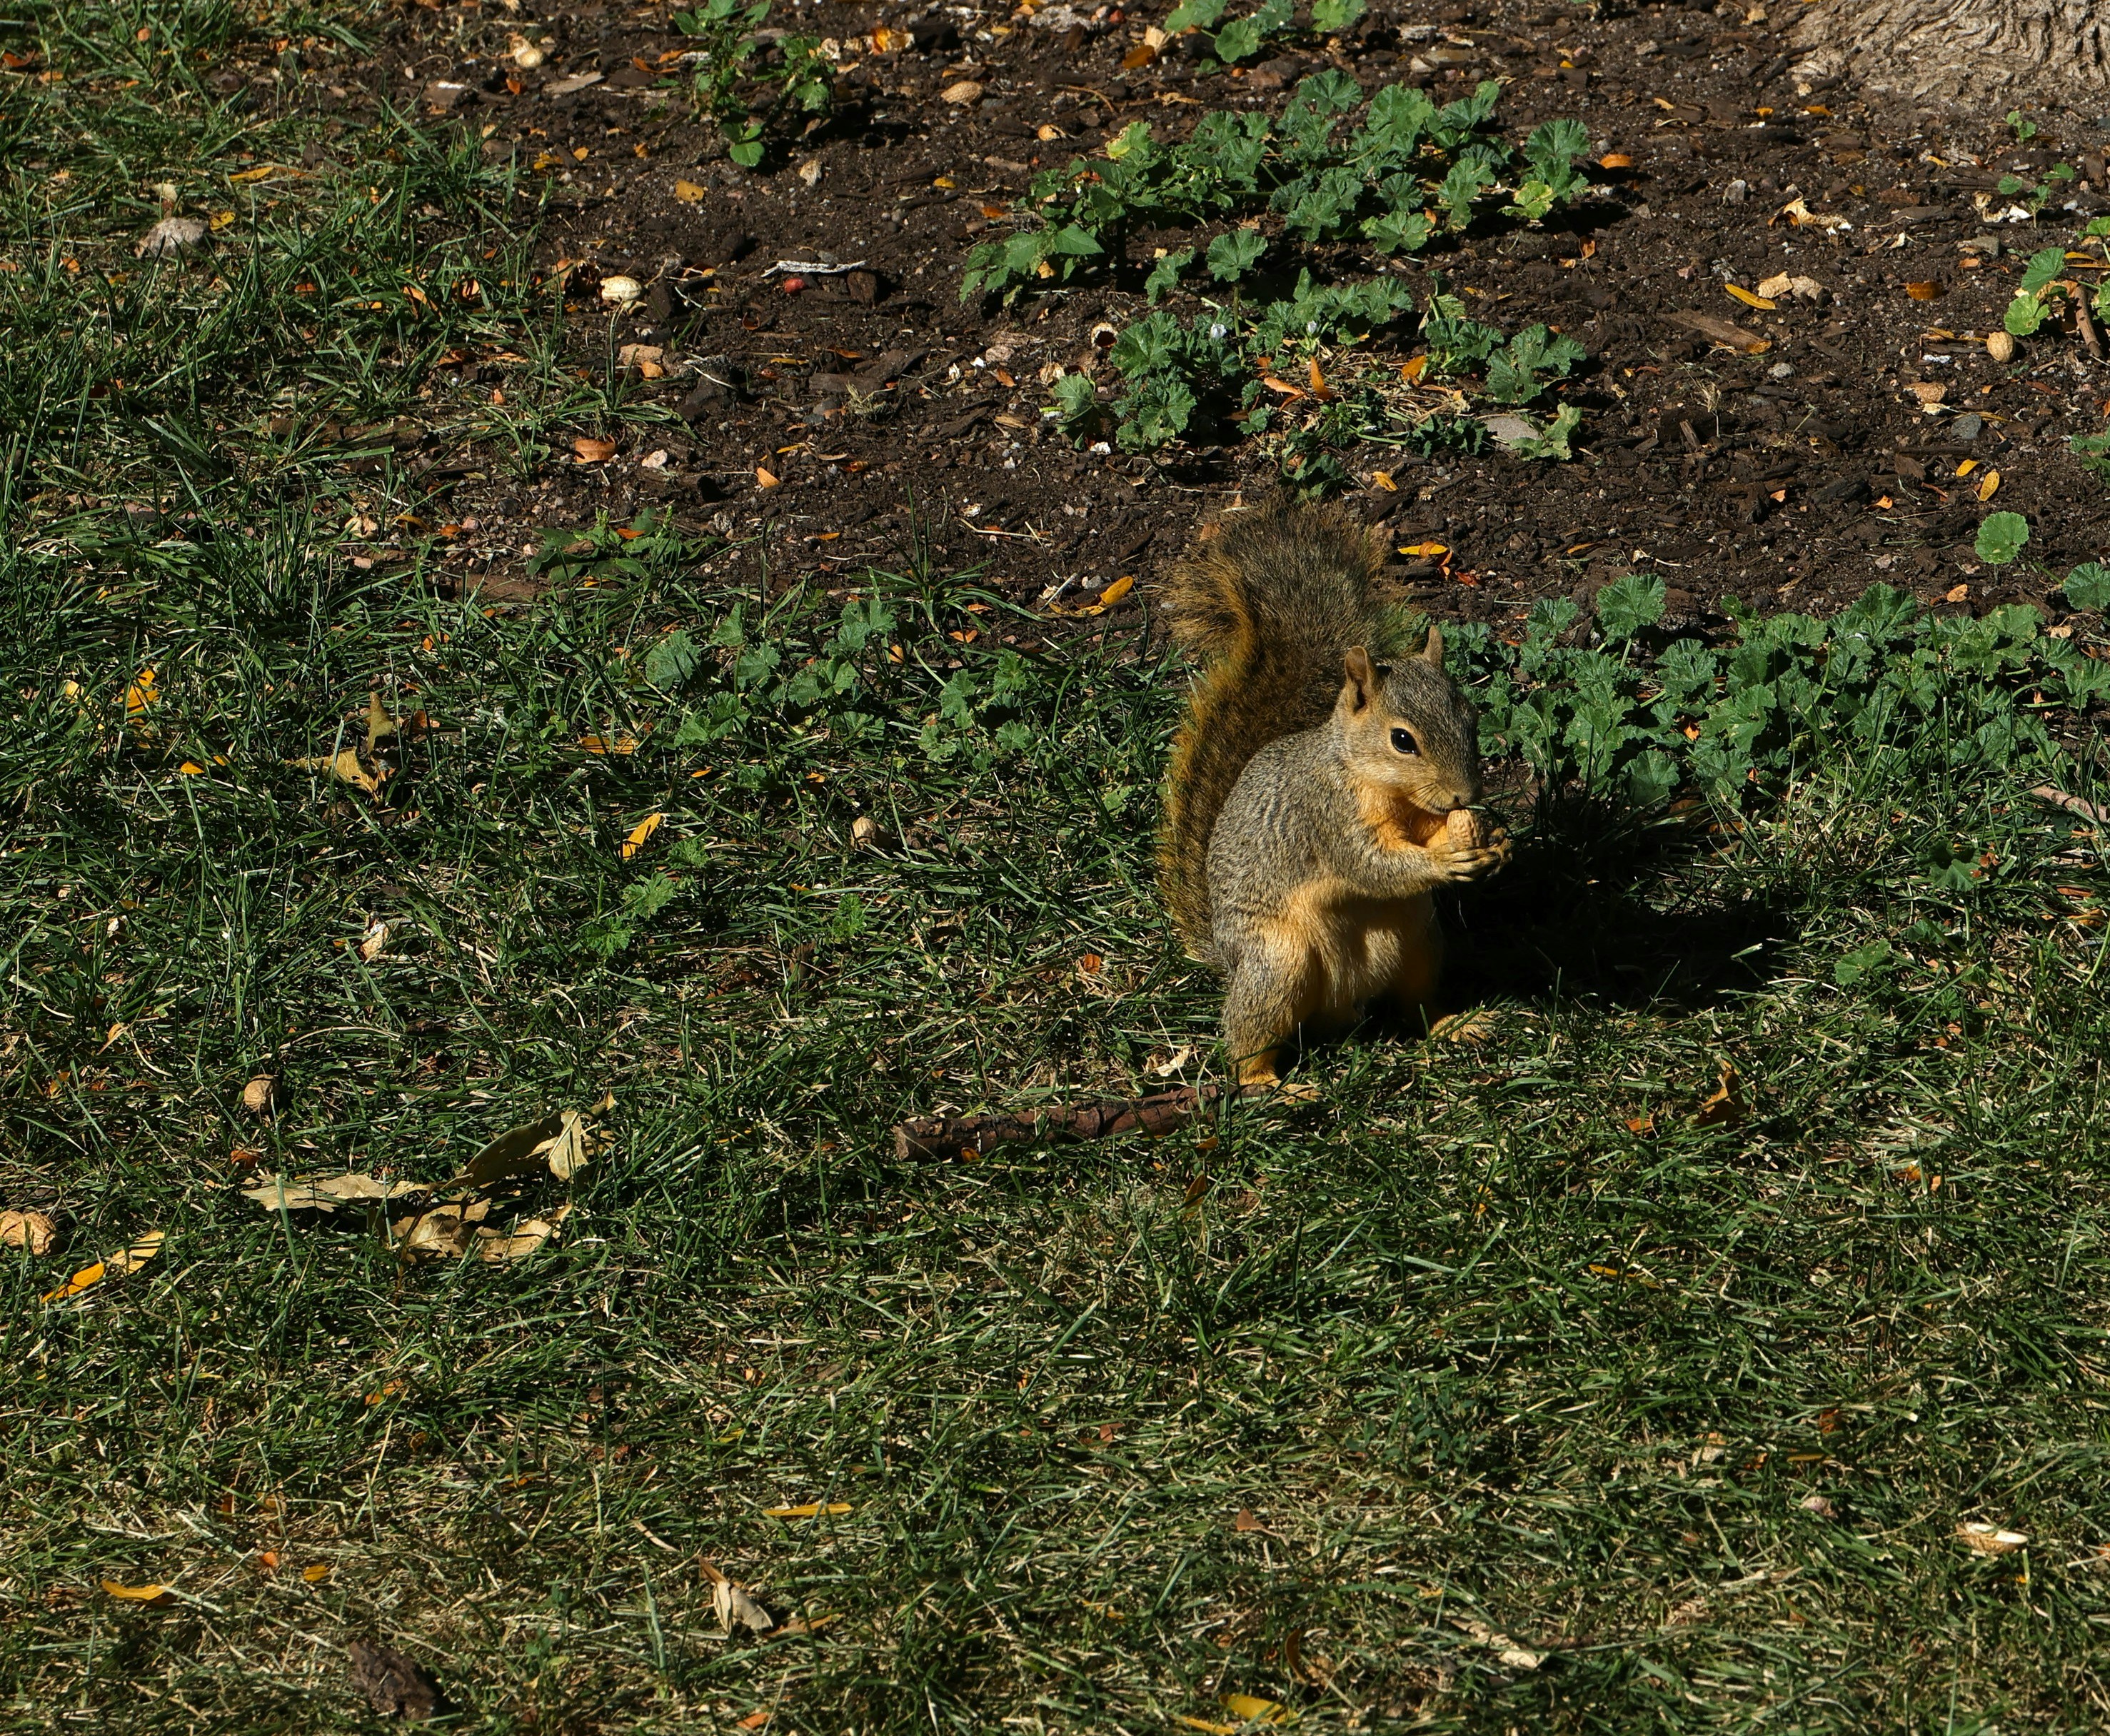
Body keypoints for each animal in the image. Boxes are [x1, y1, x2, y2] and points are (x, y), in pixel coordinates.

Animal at [1158, 497, 1510, 1087]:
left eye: (1471, 717)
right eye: (1401, 740)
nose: (1464, 794)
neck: (1375, 781)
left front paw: (1497, 839)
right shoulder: (1324, 817)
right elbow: (1368, 865)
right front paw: (1446, 857)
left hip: (1420, 943)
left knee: (1416, 1006)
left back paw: (1453, 1025)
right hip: (1278, 964)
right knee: (1248, 1035)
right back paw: (1268, 1086)